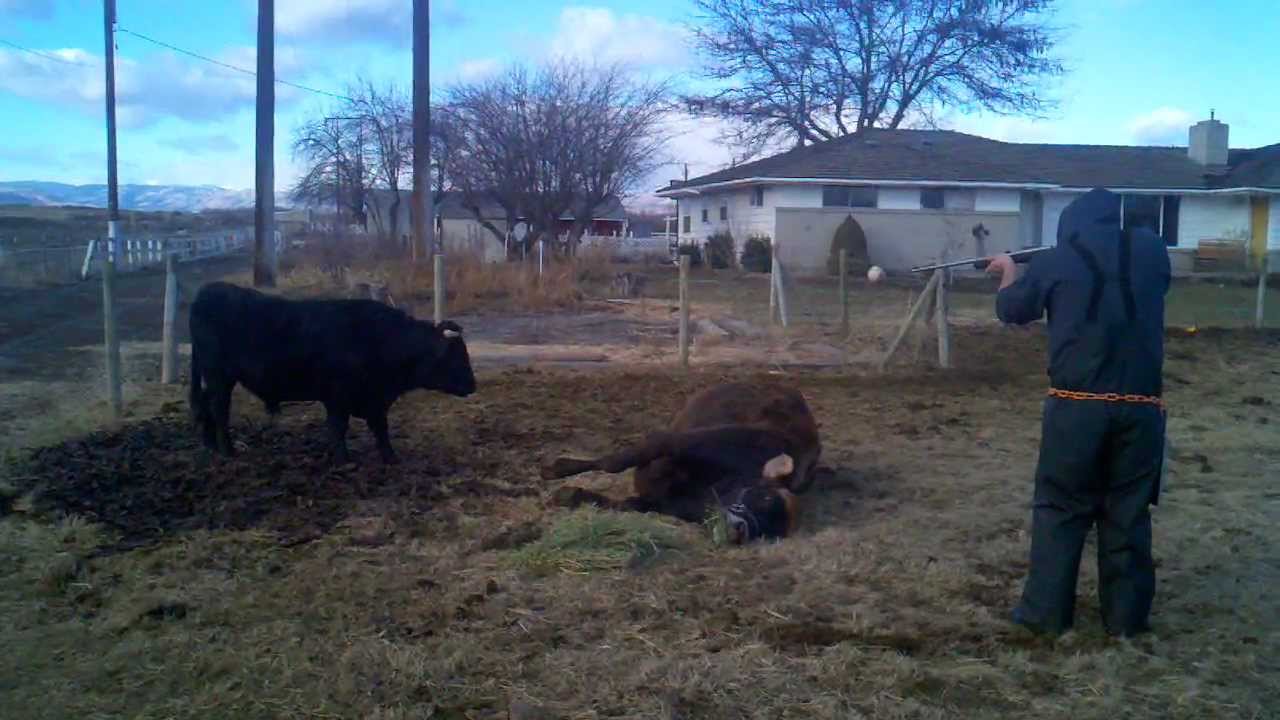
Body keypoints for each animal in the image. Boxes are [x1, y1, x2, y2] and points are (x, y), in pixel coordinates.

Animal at [188, 281, 476, 464]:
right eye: (456, 356)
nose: (472, 385)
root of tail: (207, 291)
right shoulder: (339, 396)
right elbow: (339, 427)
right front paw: (343, 459)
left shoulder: (375, 399)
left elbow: (380, 427)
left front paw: (390, 457)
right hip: (219, 376)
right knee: (219, 408)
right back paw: (228, 450)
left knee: (205, 404)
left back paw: (210, 444)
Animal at [540, 382, 823, 544]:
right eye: (764, 496)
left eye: (768, 533)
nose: (741, 531)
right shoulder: (678, 442)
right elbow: (614, 462)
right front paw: (556, 469)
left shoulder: (655, 502)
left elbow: (622, 504)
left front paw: (570, 495)